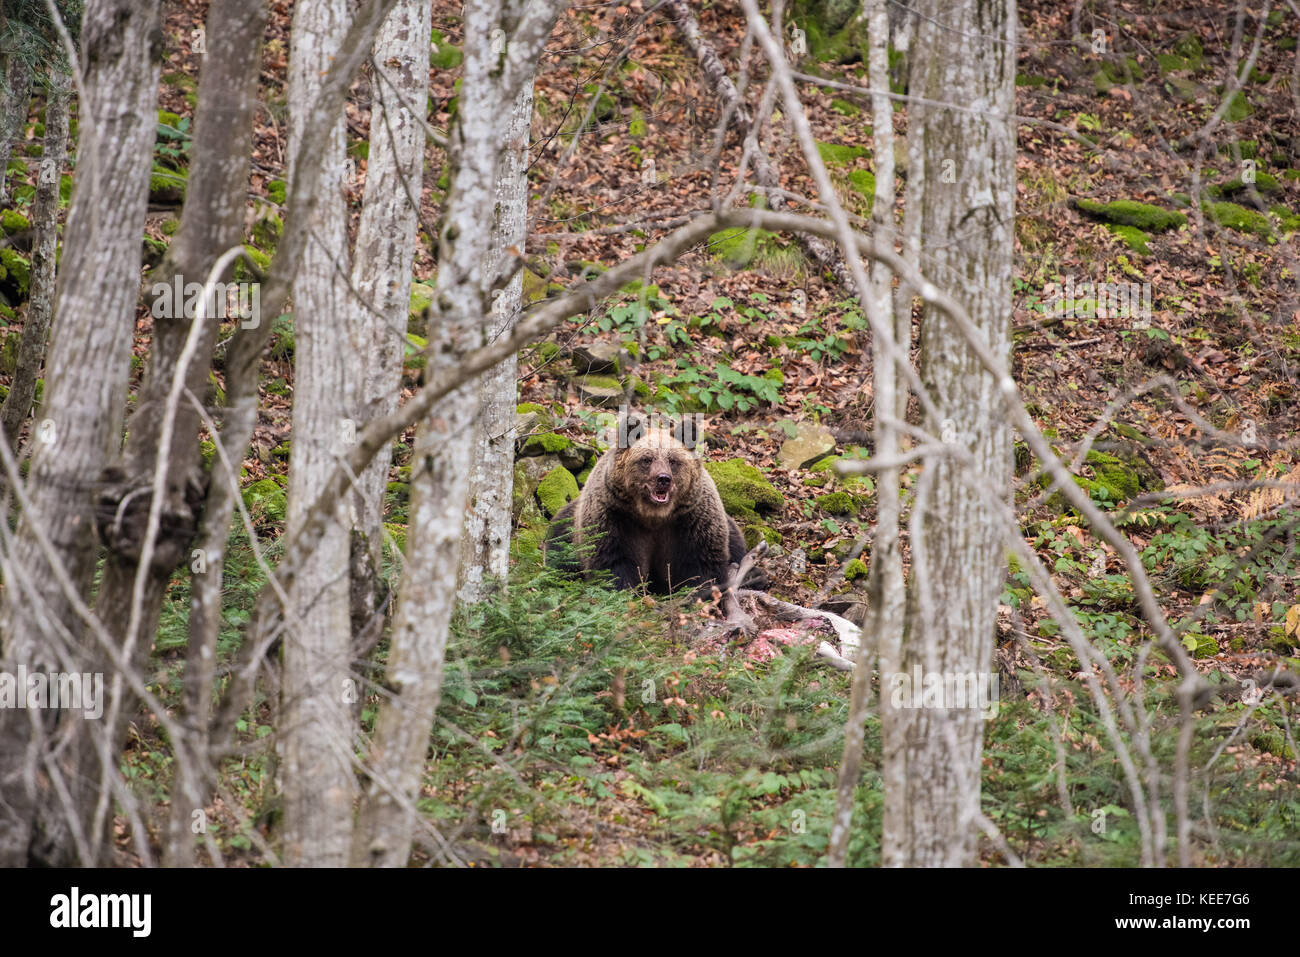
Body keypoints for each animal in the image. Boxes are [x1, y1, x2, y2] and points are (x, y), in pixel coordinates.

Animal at [544, 413, 767, 598]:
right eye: (647, 459)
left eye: (673, 460)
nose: (663, 479)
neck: (653, 515)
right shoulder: (614, 516)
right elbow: (613, 561)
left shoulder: (690, 520)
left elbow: (701, 562)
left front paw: (698, 593)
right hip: (567, 528)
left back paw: (755, 576)